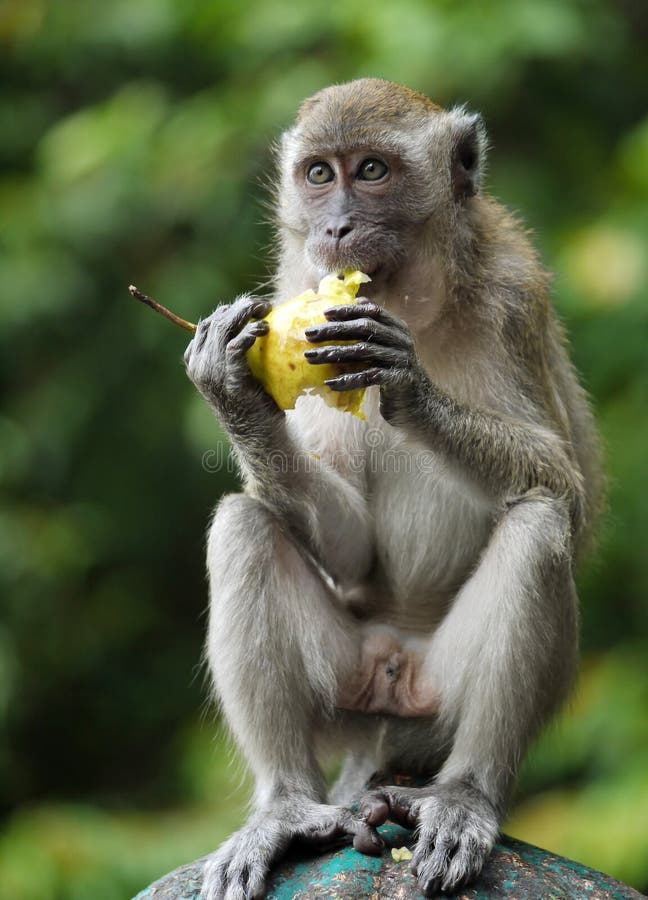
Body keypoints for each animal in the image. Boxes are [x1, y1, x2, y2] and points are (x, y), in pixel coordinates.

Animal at [183, 78, 603, 899]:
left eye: (372, 170)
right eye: (320, 175)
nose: (337, 225)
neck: (408, 297)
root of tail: (392, 686)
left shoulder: (514, 299)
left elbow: (564, 488)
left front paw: (410, 386)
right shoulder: (297, 286)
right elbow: (349, 547)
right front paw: (234, 392)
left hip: (437, 700)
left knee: (537, 527)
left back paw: (465, 796)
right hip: (345, 684)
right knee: (243, 523)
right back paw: (285, 805)